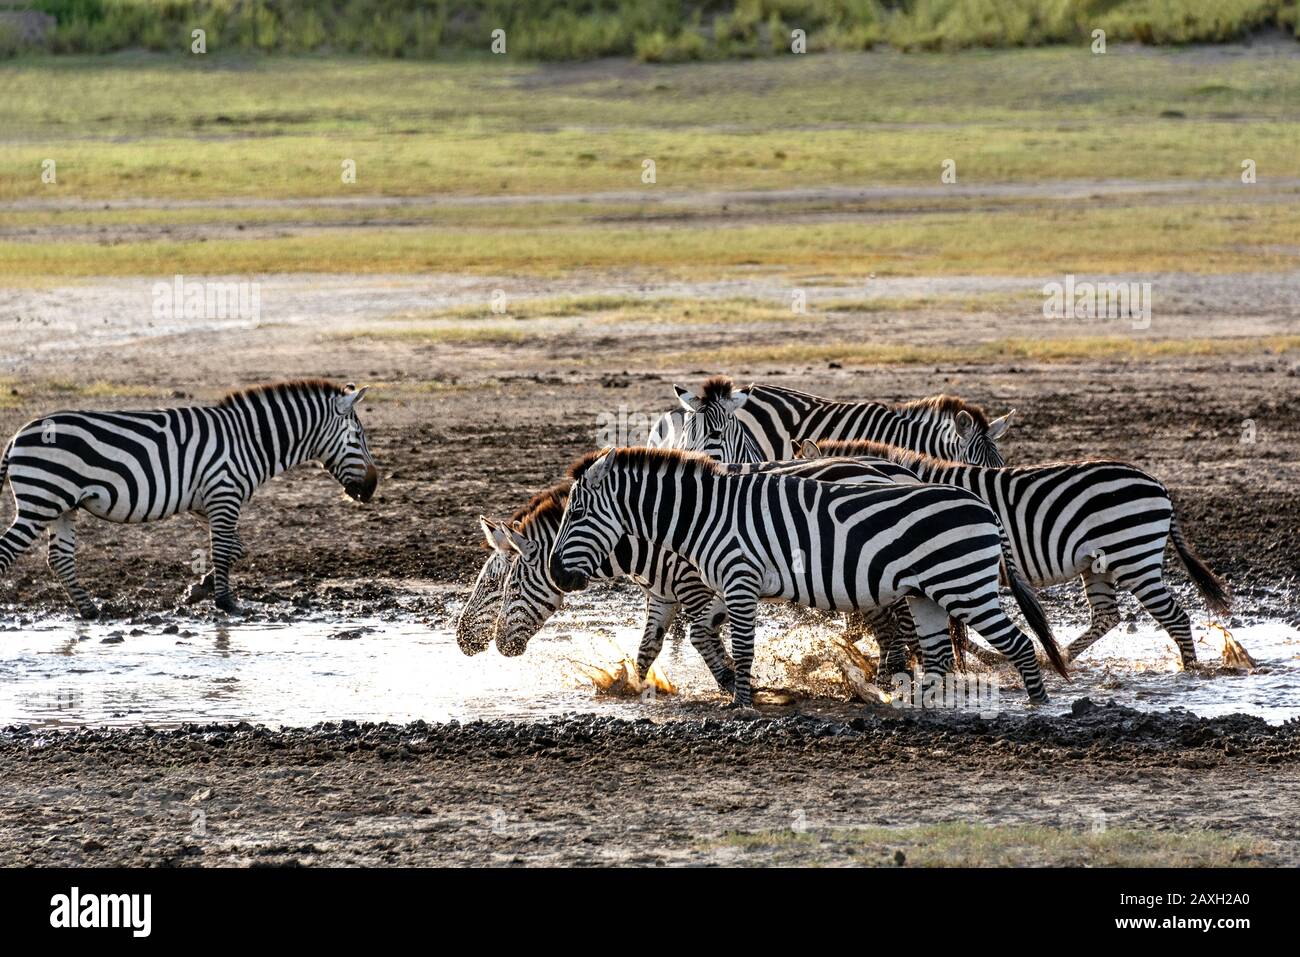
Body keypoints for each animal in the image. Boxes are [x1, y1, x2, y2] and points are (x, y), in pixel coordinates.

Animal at [0, 379, 378, 617]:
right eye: (357, 437)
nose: (373, 488)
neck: (249, 440)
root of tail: (17, 435)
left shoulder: (205, 503)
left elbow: (237, 548)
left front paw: (200, 588)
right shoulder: (224, 494)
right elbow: (223, 550)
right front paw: (226, 602)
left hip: (63, 507)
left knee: (59, 559)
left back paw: (90, 610)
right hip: (40, 503)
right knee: (8, 552)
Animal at [548, 447, 1068, 708]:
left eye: (578, 514)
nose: (556, 572)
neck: (706, 515)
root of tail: (985, 509)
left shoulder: (740, 580)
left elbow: (742, 647)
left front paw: (741, 703)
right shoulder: (721, 587)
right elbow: (686, 635)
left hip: (966, 587)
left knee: (1020, 644)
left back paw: (1039, 708)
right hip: (929, 593)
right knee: (938, 656)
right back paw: (912, 706)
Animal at [801, 439, 1232, 666]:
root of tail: (1157, 482)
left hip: (1133, 556)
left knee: (1174, 617)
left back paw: (1189, 671)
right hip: (1098, 564)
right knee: (1107, 616)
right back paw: (1056, 658)